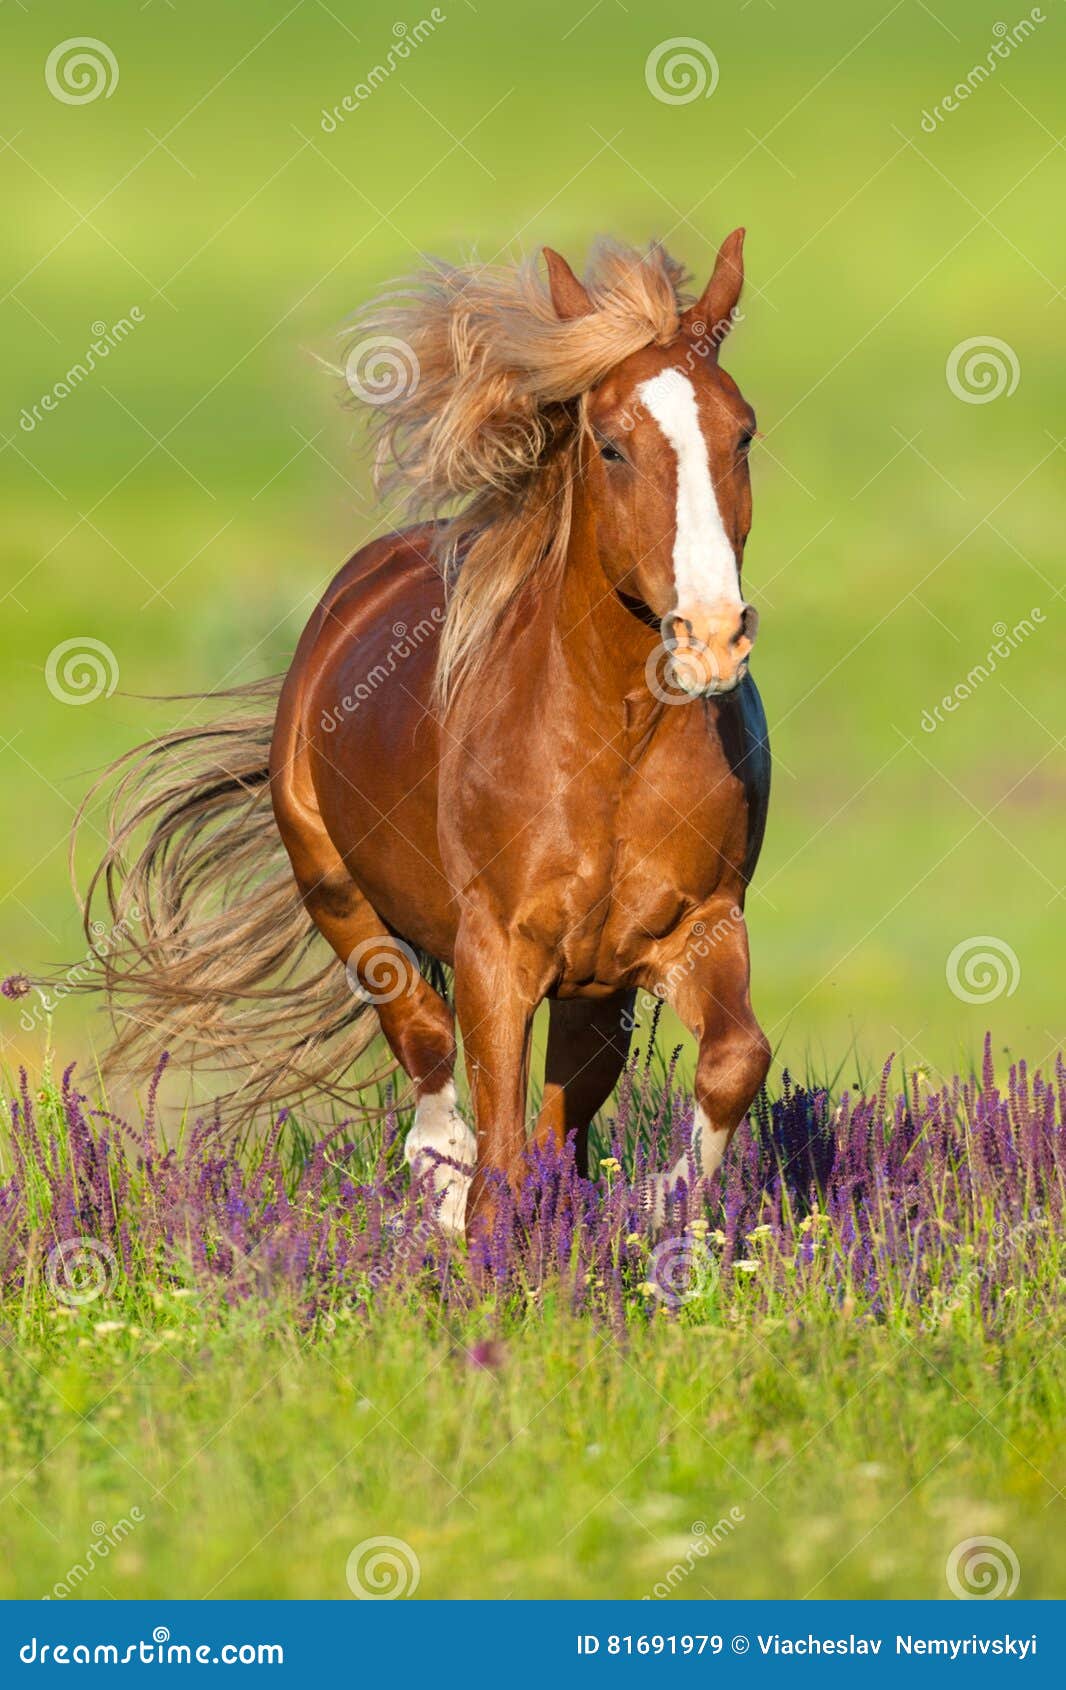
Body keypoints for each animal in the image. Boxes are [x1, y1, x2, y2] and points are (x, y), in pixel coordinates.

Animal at [82, 229, 771, 1243]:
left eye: (742, 434)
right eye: (611, 446)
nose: (712, 638)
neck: (614, 741)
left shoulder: (697, 925)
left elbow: (731, 1062)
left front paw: (655, 1206)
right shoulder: (495, 950)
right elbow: (496, 1152)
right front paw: (485, 1225)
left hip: (595, 986)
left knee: (558, 1107)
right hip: (338, 893)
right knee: (424, 1040)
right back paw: (437, 1183)